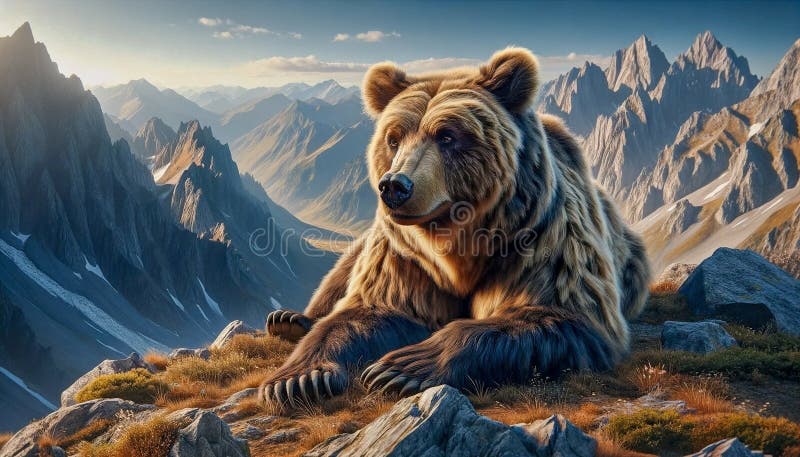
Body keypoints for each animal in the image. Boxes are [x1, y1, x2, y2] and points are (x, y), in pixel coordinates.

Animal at [259, 47, 651, 407]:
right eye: (394, 138)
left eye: (447, 135)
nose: (395, 186)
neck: (460, 242)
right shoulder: (408, 257)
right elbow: (369, 311)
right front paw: (298, 379)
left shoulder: (542, 238)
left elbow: (557, 315)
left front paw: (401, 367)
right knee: (341, 269)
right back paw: (290, 319)